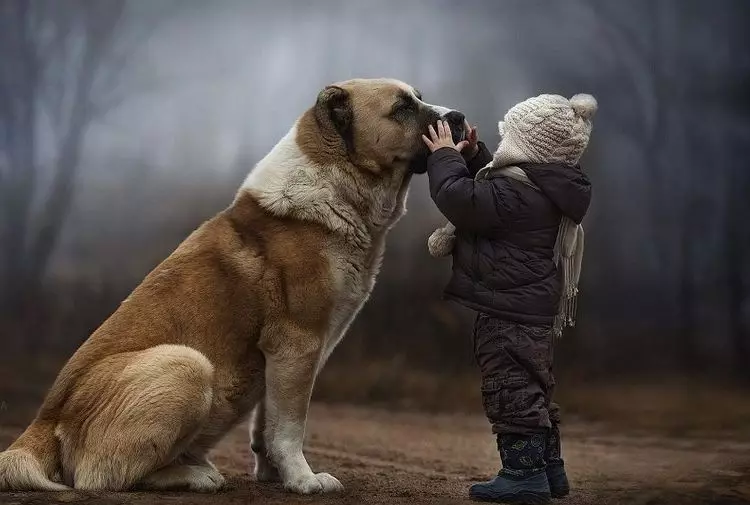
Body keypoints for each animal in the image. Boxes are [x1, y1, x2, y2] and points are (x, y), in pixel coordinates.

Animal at [0, 78, 468, 492]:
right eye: (402, 108)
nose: (459, 117)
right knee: (101, 477)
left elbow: (268, 423)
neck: (336, 185)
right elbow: (290, 426)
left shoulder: (282, 358)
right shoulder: (297, 343)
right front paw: (304, 481)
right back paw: (195, 476)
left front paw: (276, 477)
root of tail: (42, 421)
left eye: (419, 98)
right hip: (186, 364)